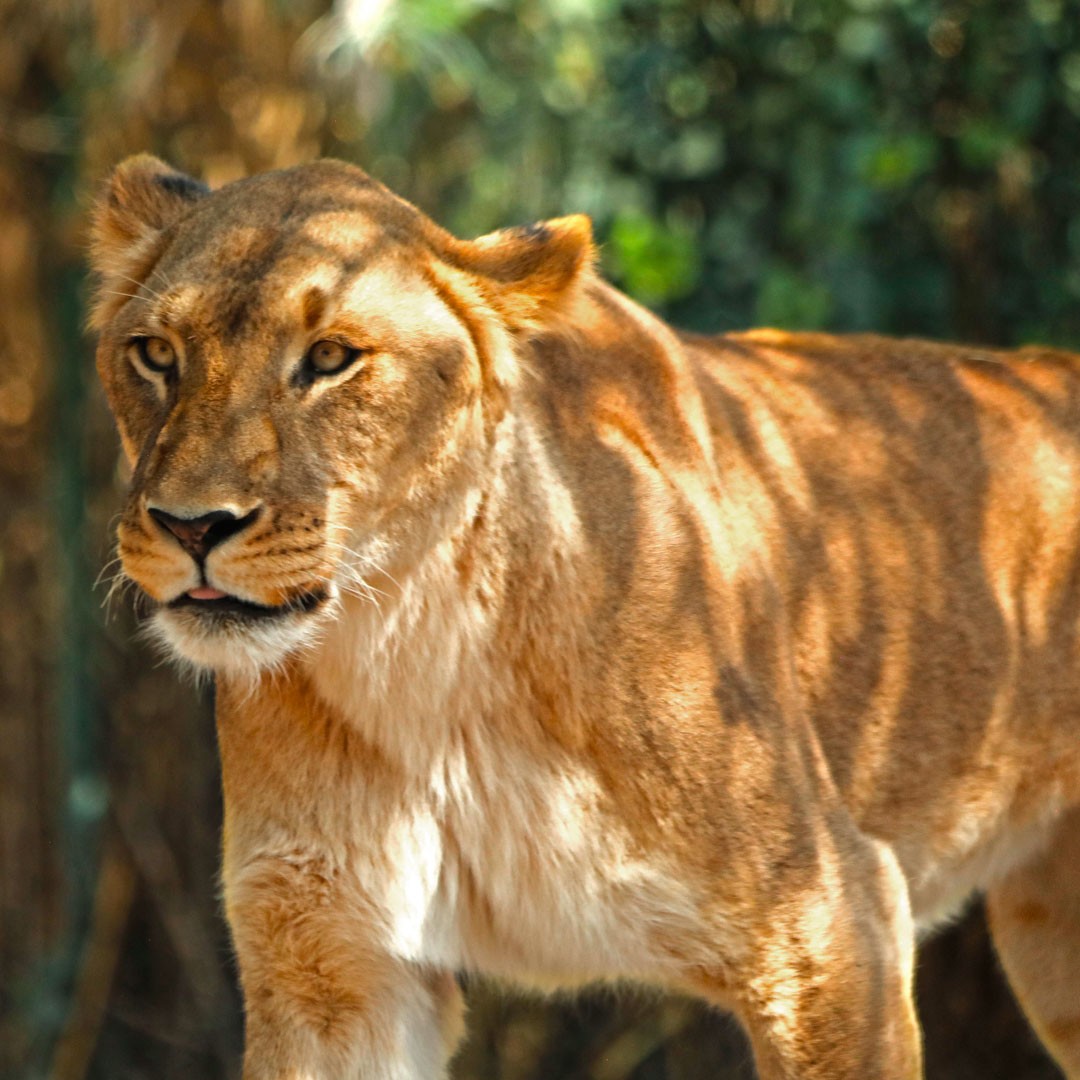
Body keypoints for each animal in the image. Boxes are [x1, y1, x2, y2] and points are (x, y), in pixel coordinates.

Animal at [89, 154, 1080, 1080]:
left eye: (330, 358)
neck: (420, 655)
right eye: (156, 354)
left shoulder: (834, 925)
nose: (191, 525)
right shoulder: (331, 965)